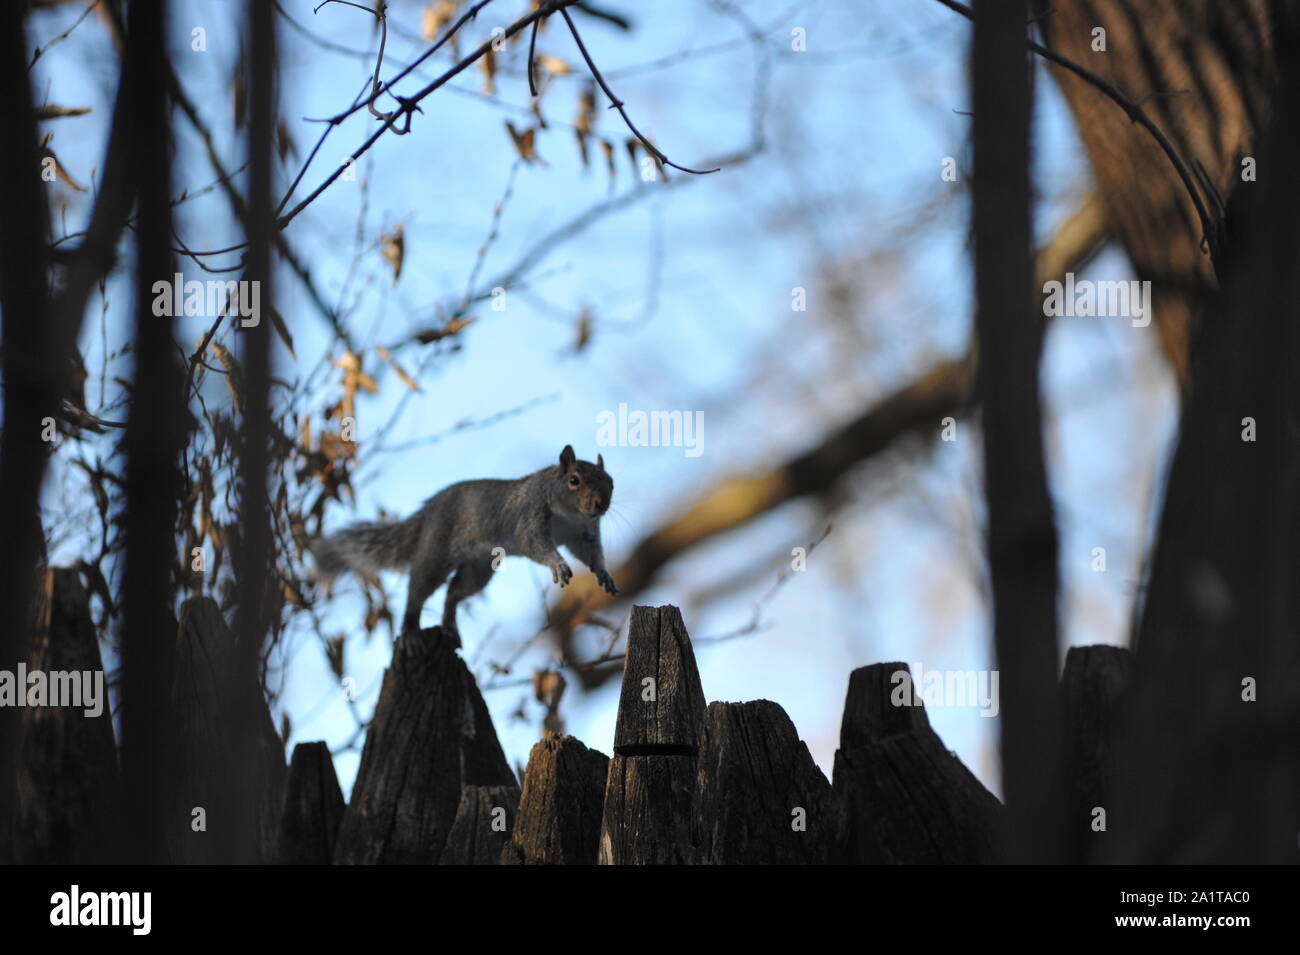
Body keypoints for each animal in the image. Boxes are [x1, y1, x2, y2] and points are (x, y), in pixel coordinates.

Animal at [310, 445, 618, 644]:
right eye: (574, 480)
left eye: (611, 483)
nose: (600, 504)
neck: (570, 517)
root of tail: (429, 510)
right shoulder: (530, 517)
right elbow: (537, 545)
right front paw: (558, 565)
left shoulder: (584, 534)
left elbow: (590, 554)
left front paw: (603, 573)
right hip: (435, 553)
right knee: (418, 589)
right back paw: (410, 630)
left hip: (478, 568)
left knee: (454, 593)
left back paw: (449, 627)